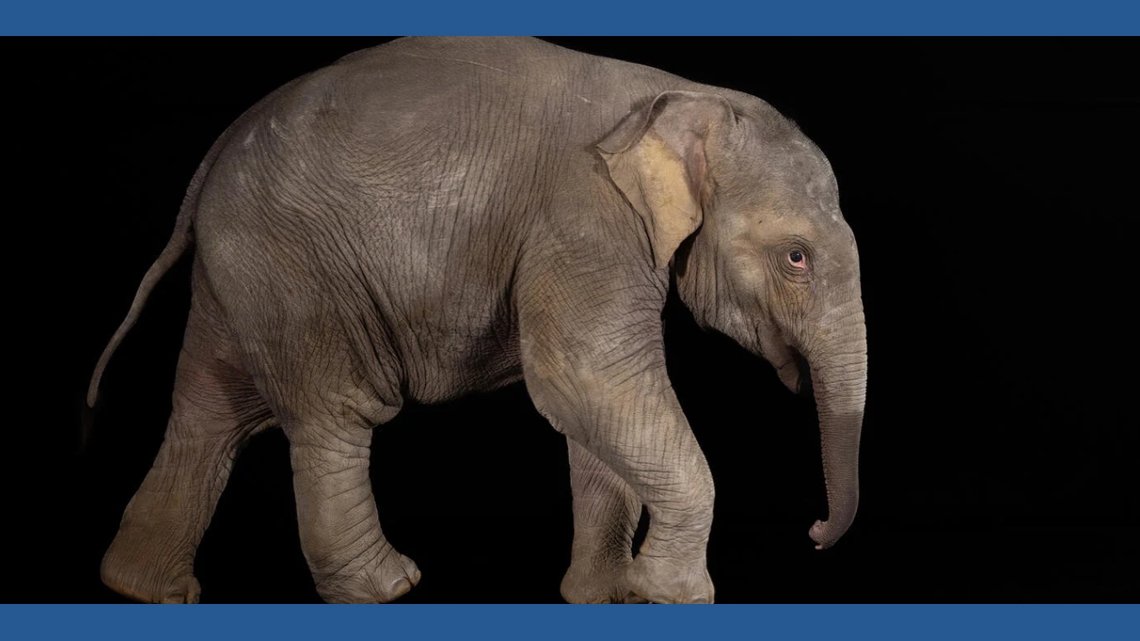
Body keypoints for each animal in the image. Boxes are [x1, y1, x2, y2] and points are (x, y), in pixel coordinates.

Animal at [88, 36, 867, 605]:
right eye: (796, 257)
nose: (814, 531)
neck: (685, 94)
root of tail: (215, 155)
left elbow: (595, 412)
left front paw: (607, 596)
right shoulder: (583, 216)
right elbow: (585, 375)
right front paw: (670, 594)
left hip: (238, 274)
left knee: (208, 414)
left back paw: (144, 589)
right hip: (293, 266)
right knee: (332, 413)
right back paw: (388, 586)